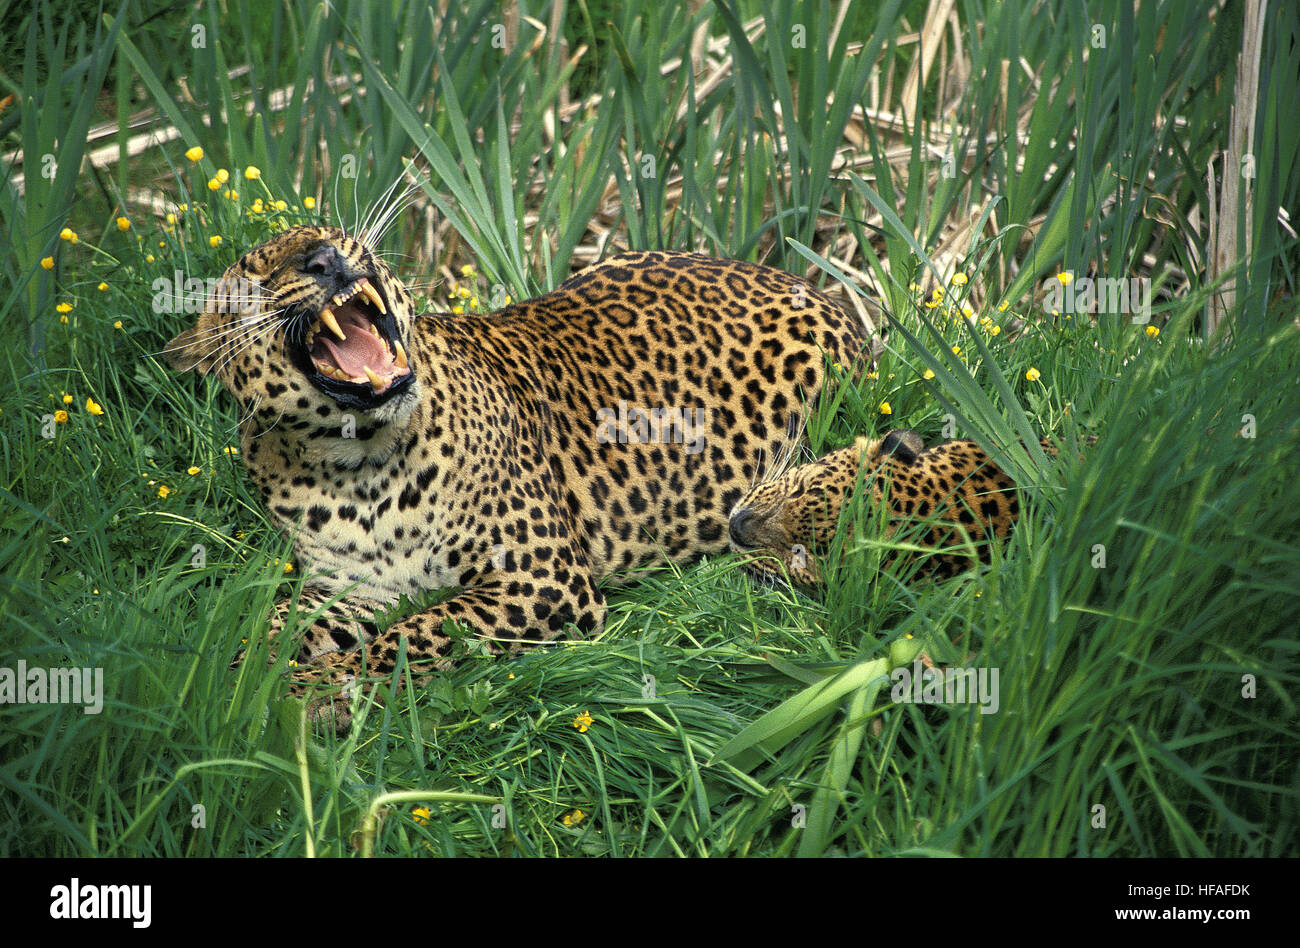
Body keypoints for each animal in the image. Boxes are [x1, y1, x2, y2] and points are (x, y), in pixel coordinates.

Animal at [165, 224, 868, 727]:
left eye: (330, 230)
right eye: (252, 279)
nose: (325, 257)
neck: (356, 467)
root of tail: (828, 296)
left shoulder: (541, 577)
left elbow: (411, 635)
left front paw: (310, 688)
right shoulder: (352, 585)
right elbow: (275, 620)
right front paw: (223, 674)